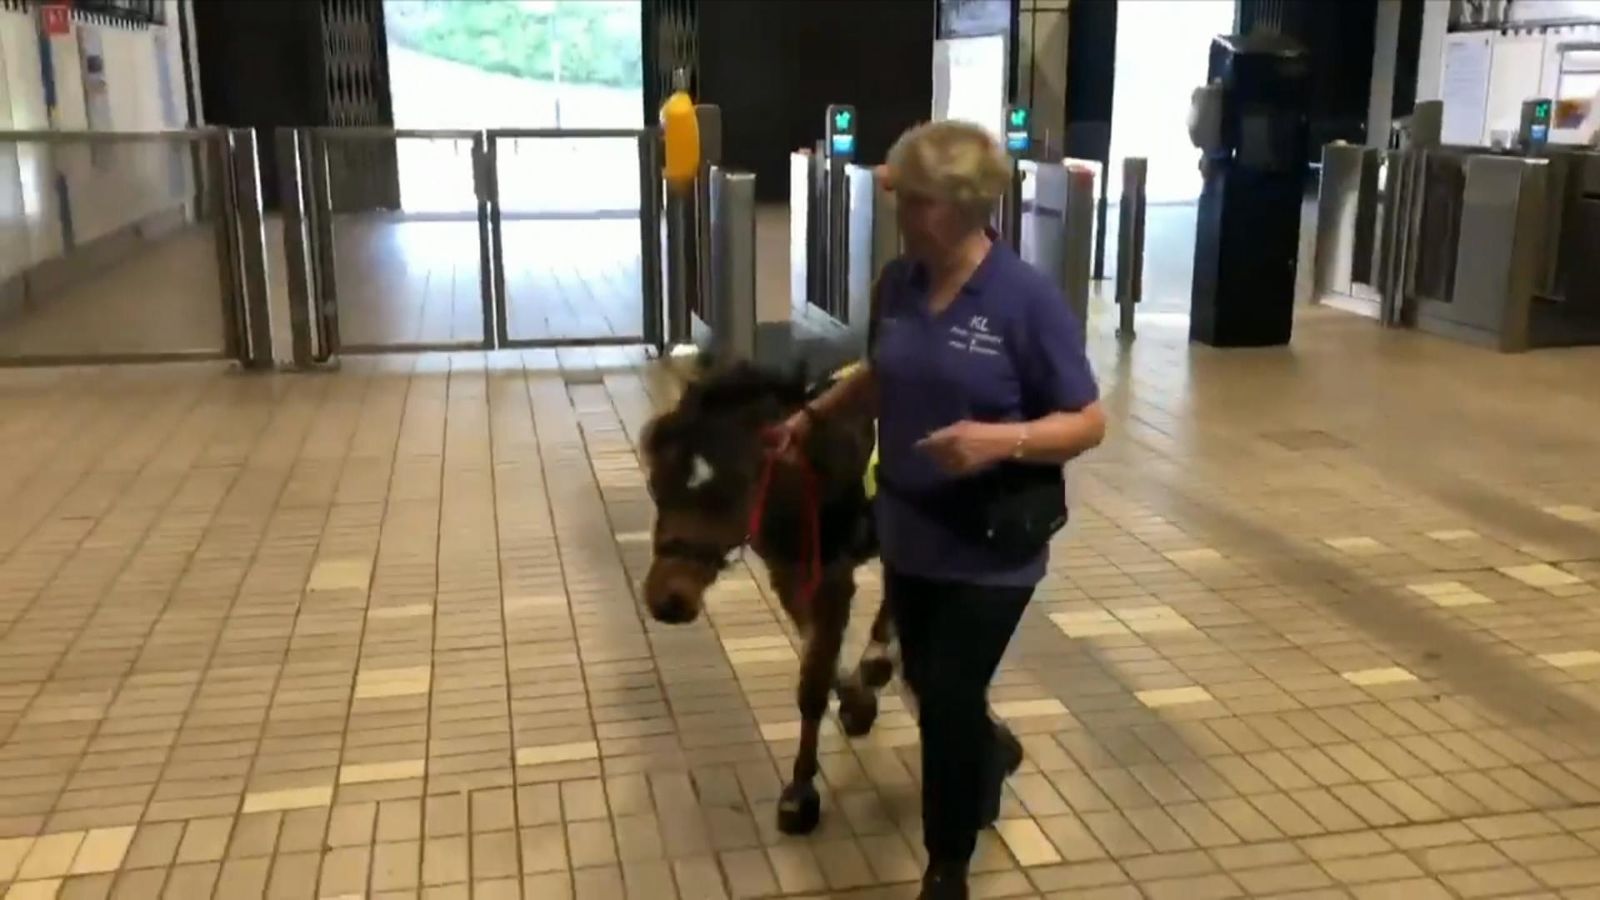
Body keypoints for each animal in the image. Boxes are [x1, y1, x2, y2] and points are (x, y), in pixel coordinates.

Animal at [638, 359, 900, 834]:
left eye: (732, 494)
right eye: (657, 486)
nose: (668, 600)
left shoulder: (832, 579)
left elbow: (813, 684)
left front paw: (801, 793)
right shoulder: (788, 575)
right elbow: (818, 655)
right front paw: (857, 704)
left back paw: (877, 658)